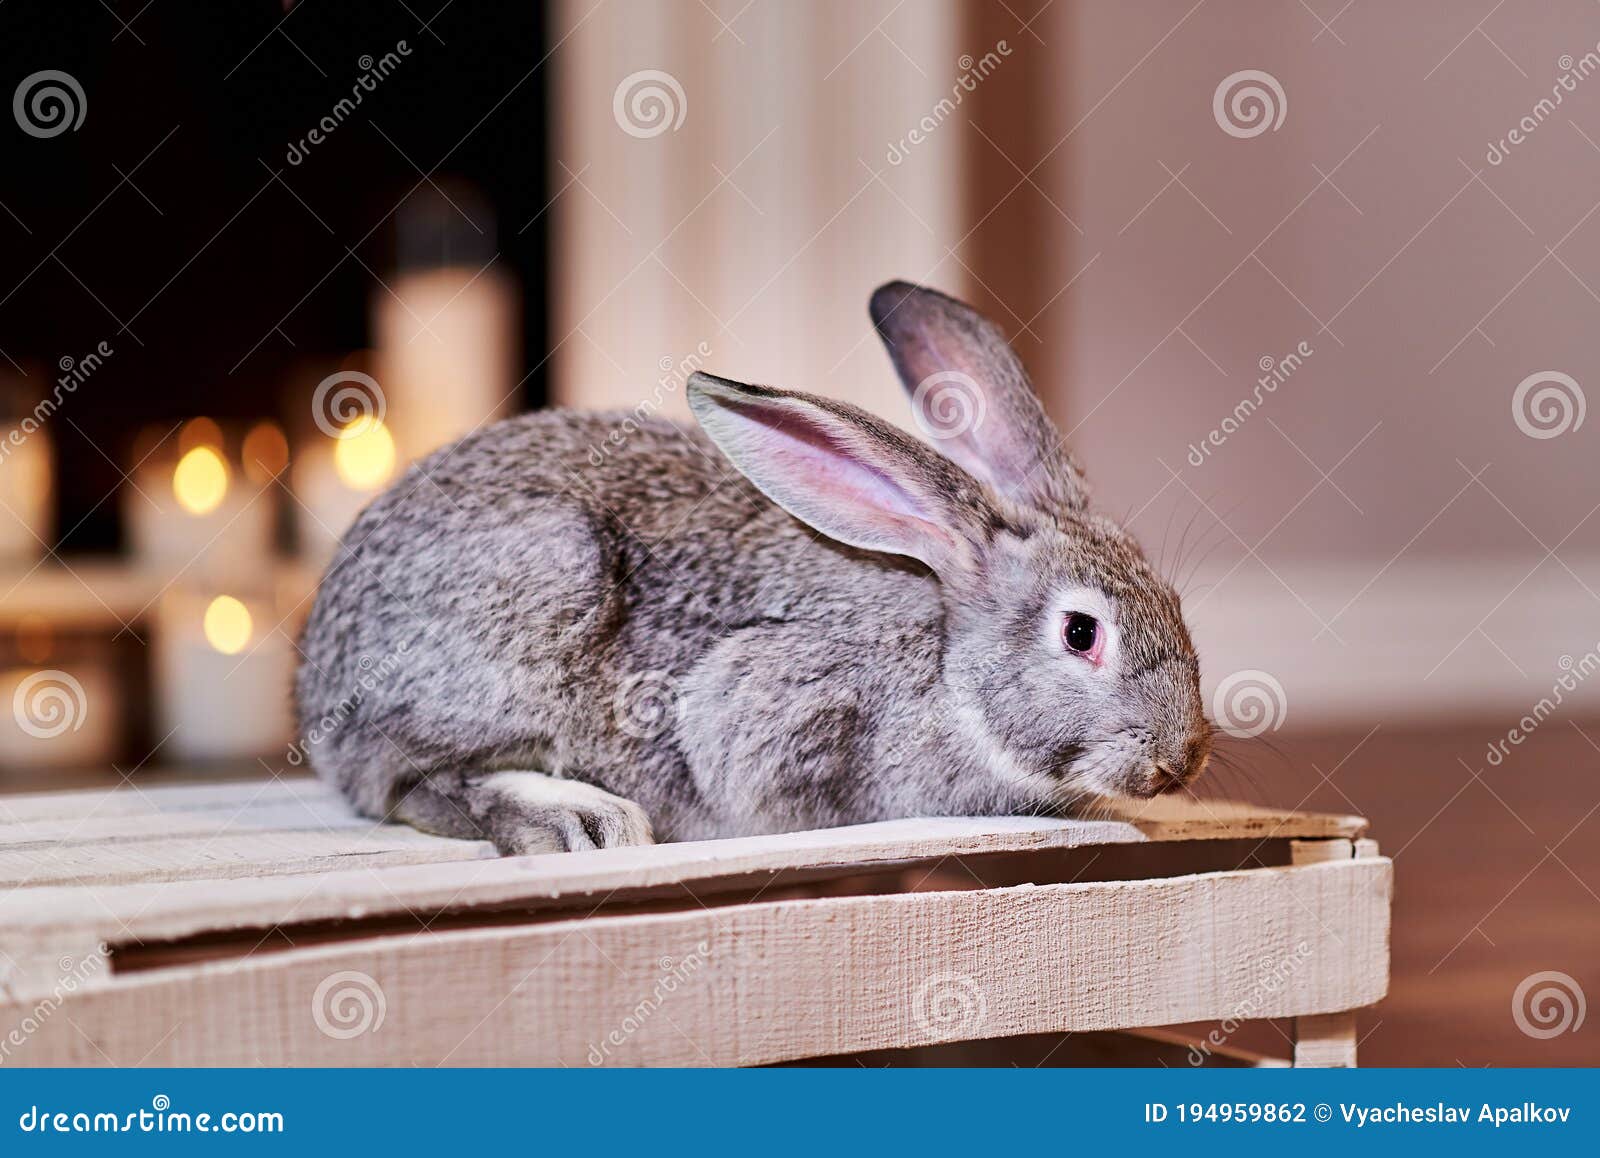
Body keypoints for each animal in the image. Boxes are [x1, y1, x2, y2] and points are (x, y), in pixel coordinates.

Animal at [294, 280, 1213, 854]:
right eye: (1082, 633)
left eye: (1176, 606)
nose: (1182, 758)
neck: (950, 664)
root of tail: (315, 686)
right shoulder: (763, 705)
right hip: (534, 602)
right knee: (401, 783)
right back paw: (579, 822)